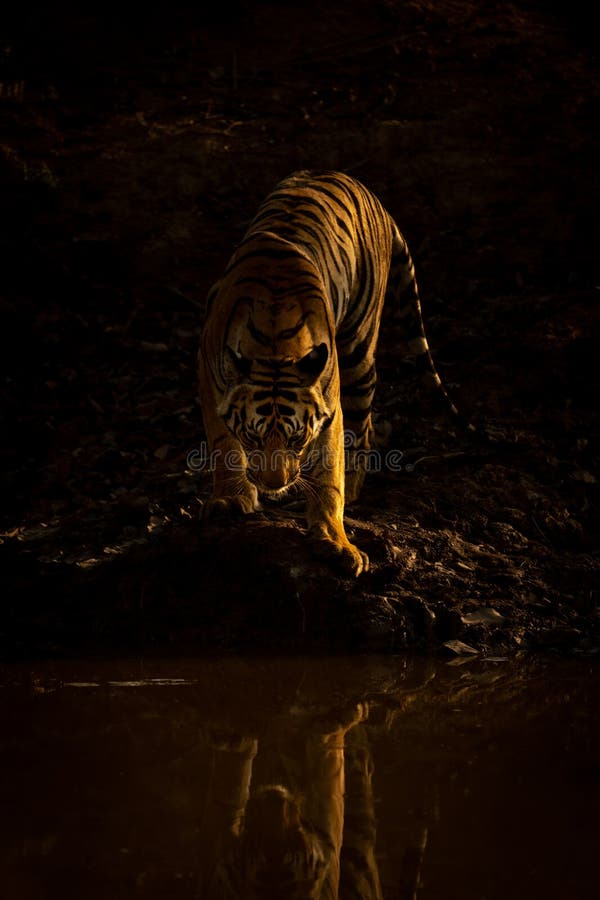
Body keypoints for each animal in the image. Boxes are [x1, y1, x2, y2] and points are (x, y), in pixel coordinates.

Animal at [198, 170, 462, 576]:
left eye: (296, 439)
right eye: (253, 437)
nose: (275, 483)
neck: (274, 342)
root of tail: (373, 198)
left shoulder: (329, 405)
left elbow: (329, 473)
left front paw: (337, 542)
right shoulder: (210, 378)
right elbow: (223, 444)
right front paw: (231, 498)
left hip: (359, 351)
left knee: (364, 430)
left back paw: (351, 491)